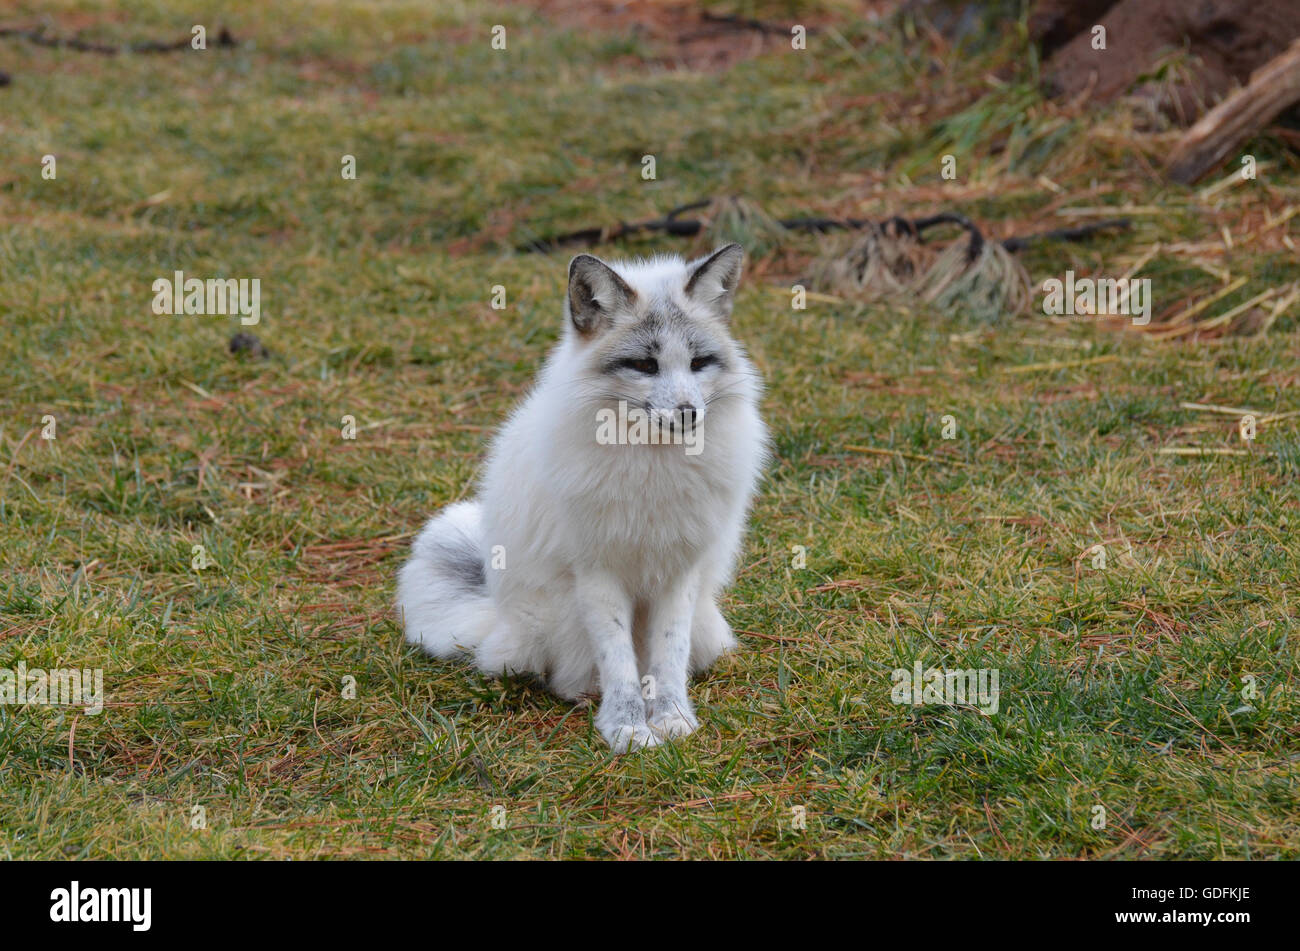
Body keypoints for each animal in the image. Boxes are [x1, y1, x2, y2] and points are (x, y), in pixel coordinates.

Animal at [396, 243, 767, 752]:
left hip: (705, 624)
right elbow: (618, 660)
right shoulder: (596, 570)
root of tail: (498, 619)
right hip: (558, 618)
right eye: (645, 365)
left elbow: (669, 655)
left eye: (698, 362)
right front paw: (628, 727)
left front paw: (670, 717)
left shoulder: (679, 570)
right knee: (565, 676)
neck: (653, 469)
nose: (689, 414)